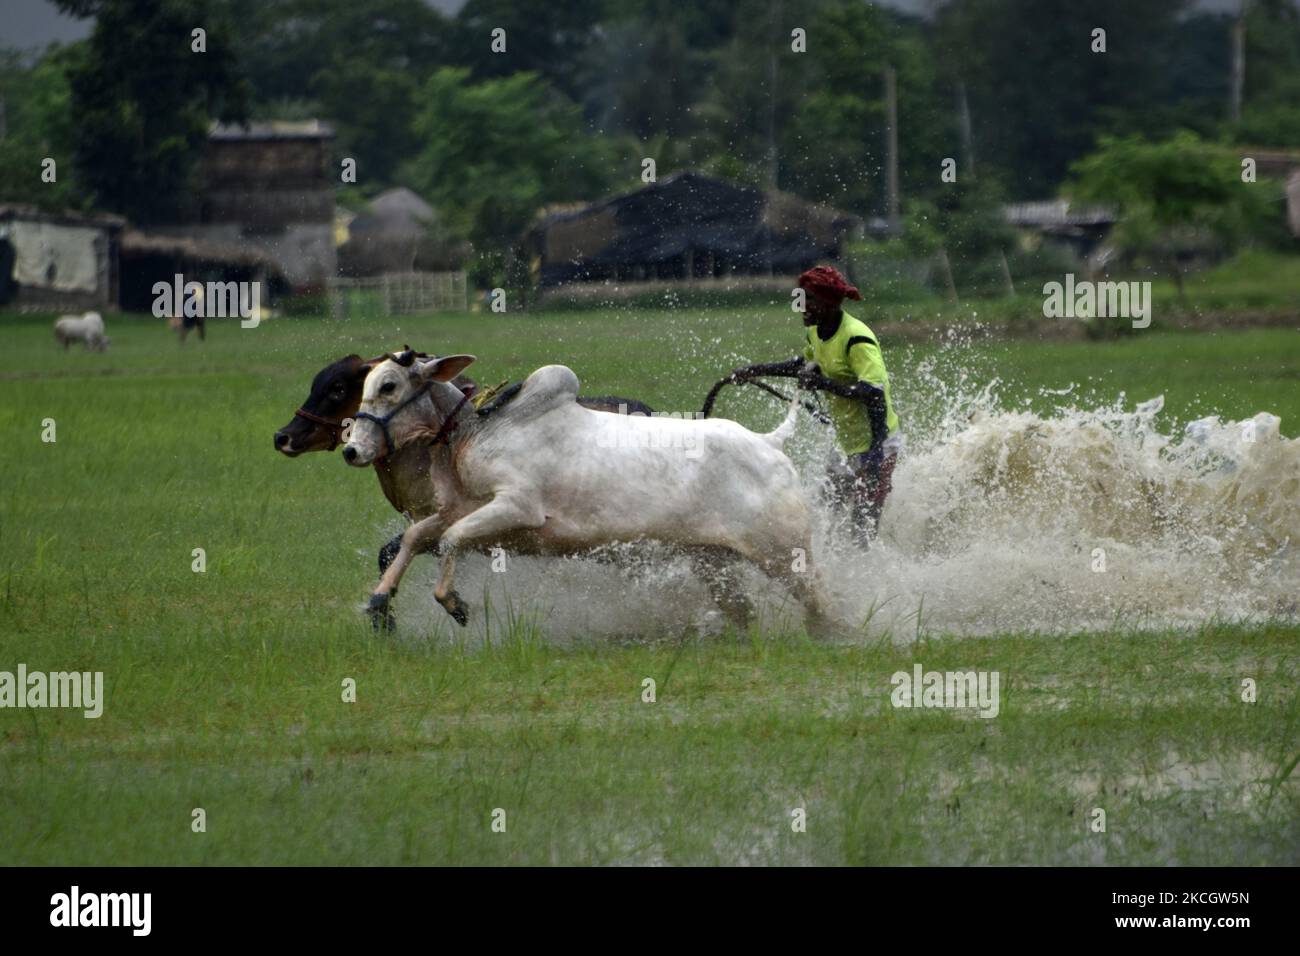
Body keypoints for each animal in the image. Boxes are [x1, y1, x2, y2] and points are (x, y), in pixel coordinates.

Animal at [341, 351, 832, 636]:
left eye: (389, 385)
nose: (351, 449)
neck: (474, 430)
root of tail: (770, 443)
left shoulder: (518, 506)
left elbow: (450, 539)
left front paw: (454, 603)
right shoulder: (463, 510)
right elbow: (415, 537)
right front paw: (380, 600)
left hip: (784, 555)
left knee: (820, 601)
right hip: (715, 563)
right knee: (745, 611)